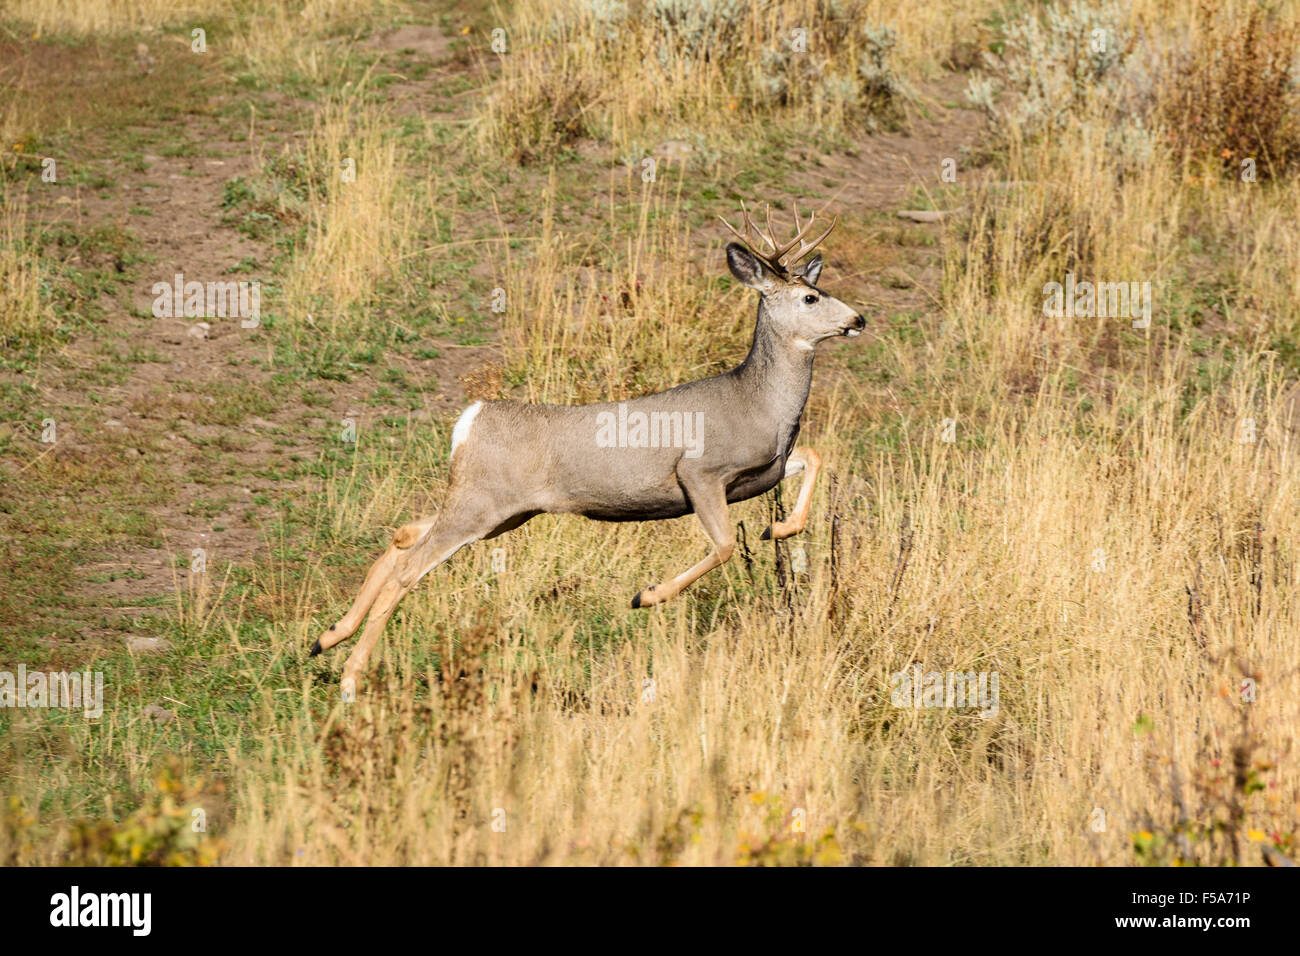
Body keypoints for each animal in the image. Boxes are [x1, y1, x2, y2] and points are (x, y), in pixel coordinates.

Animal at [311, 202, 866, 693]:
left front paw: (778, 528)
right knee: (409, 568)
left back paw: (327, 638)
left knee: (405, 533)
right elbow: (726, 544)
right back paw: (350, 676)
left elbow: (815, 457)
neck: (762, 405)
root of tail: (470, 420)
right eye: (811, 298)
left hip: (499, 510)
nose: (858, 319)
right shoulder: (699, 471)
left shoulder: (763, 473)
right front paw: (647, 595)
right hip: (480, 505)